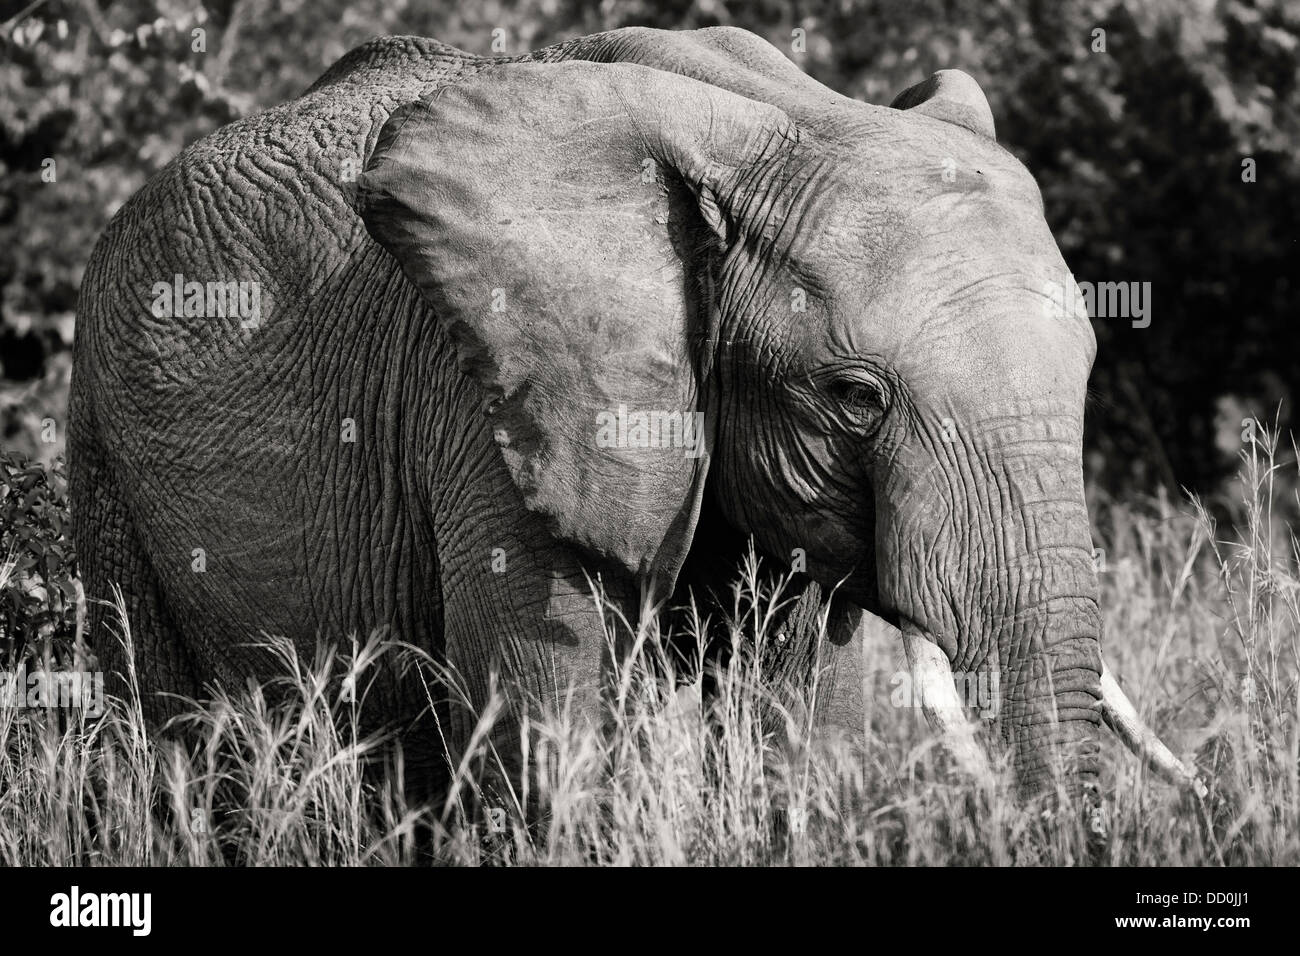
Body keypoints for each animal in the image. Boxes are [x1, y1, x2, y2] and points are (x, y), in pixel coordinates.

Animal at [69, 26, 1201, 800]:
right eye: (854, 398)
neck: (771, 119)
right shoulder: (489, 399)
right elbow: (546, 720)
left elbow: (795, 715)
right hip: (103, 447)